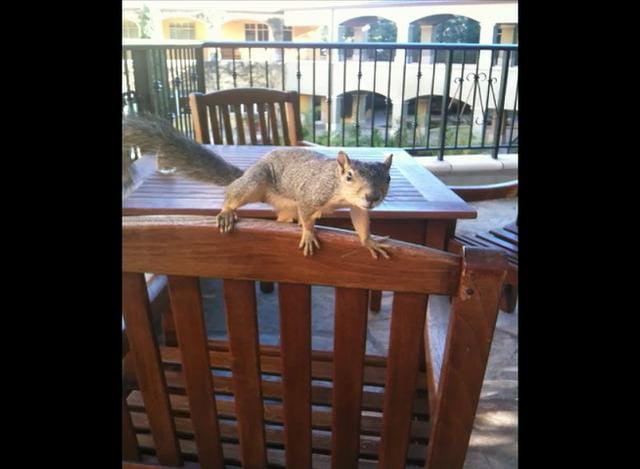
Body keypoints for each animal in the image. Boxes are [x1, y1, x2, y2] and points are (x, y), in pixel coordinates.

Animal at [123, 115, 393, 259]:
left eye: (388, 179)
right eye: (349, 176)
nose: (372, 197)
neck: (338, 191)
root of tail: (248, 171)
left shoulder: (357, 207)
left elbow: (360, 221)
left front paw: (369, 241)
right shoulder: (311, 194)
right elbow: (307, 214)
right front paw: (308, 234)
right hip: (255, 182)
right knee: (232, 194)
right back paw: (227, 211)